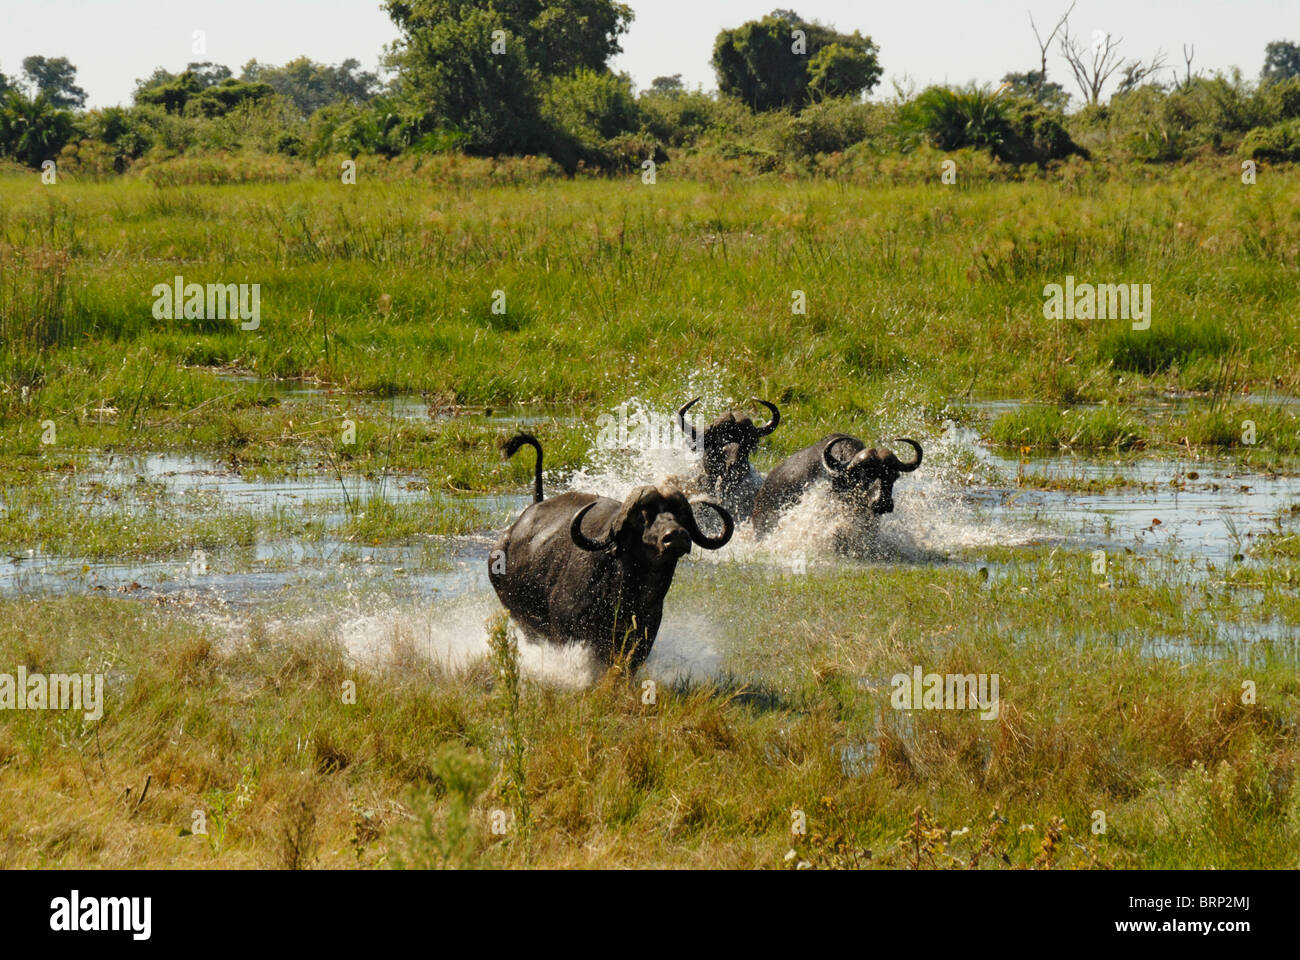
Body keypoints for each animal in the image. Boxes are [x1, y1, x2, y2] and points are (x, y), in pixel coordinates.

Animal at [490, 433, 734, 669]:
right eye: (642, 516)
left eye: (681, 514)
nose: (675, 537)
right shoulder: (568, 634)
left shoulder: (643, 638)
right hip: (522, 621)